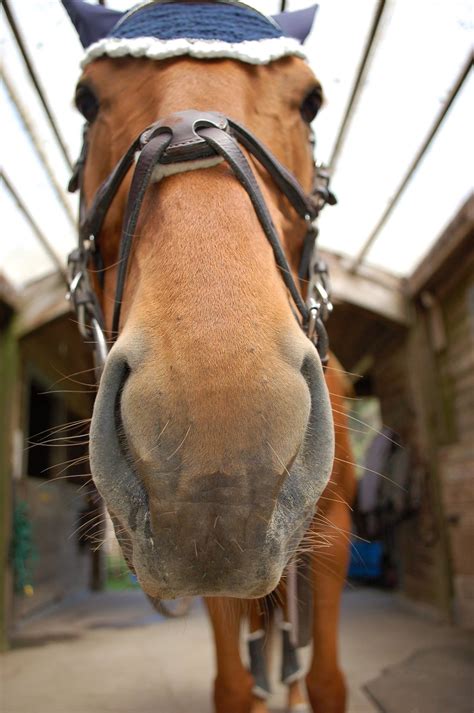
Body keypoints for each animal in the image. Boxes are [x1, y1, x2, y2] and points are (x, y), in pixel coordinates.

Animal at [62, 2, 356, 711]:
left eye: (311, 100)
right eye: (87, 99)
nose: (218, 434)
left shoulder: (333, 539)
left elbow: (325, 681)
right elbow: (234, 683)